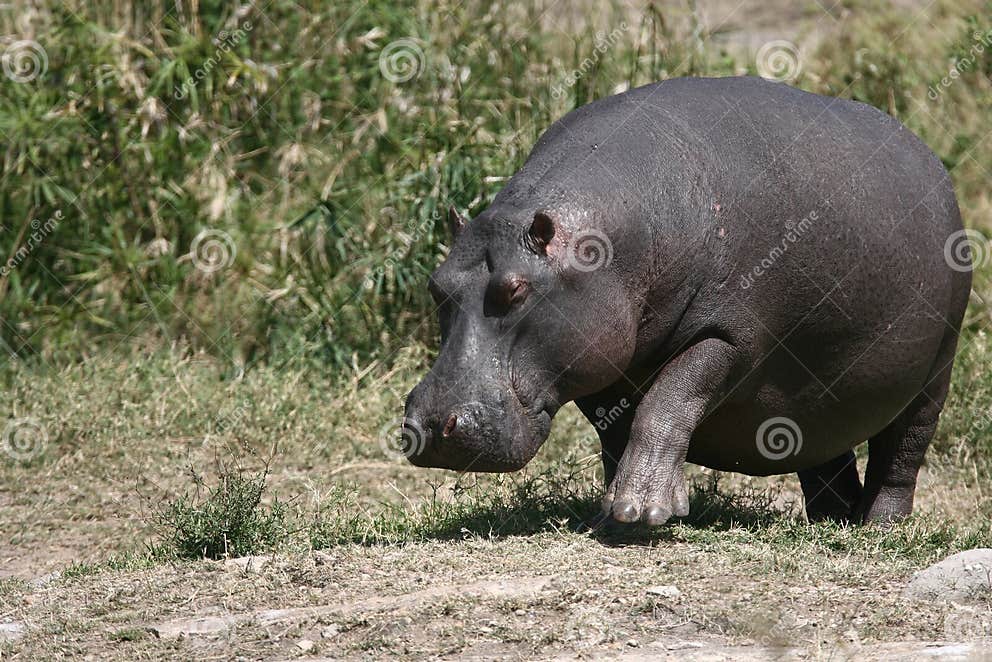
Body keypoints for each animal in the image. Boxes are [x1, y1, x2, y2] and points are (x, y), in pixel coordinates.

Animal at [402, 76, 971, 525]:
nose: (430, 426)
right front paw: (616, 514)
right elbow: (618, 432)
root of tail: (932, 161)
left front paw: (645, 509)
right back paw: (832, 520)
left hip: (935, 372)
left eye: (516, 289)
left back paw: (880, 526)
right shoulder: (602, 359)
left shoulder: (731, 338)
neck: (607, 248)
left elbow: (668, 401)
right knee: (824, 454)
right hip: (815, 392)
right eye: (437, 284)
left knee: (902, 453)